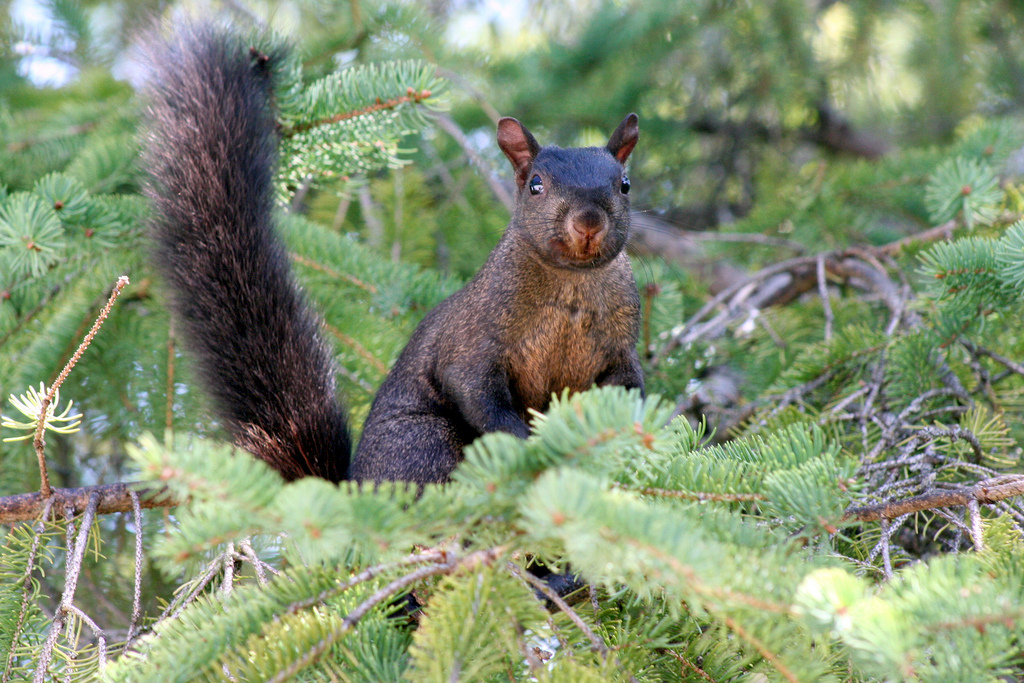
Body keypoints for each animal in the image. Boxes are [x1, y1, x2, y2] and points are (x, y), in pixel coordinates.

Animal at [142, 23, 644, 486]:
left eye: (624, 184)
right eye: (536, 185)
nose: (588, 221)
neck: (571, 282)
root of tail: (352, 489)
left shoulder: (621, 346)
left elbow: (630, 388)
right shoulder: (475, 336)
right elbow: (477, 392)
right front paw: (532, 446)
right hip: (423, 441)